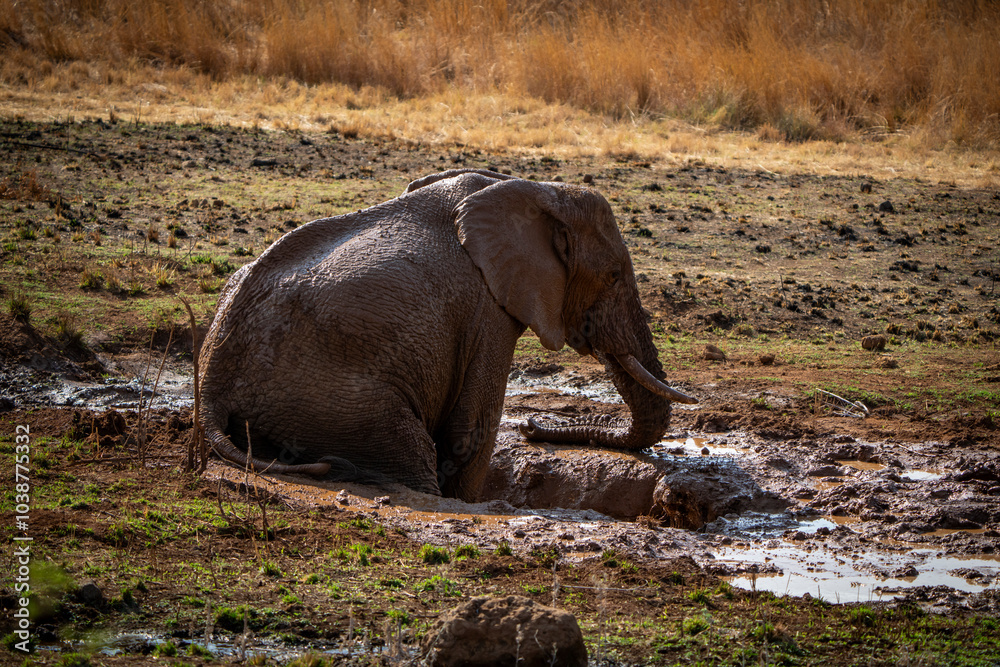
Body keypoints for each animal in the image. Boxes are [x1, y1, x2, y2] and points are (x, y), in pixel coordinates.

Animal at [197, 168, 696, 500]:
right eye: (613, 276)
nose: (533, 427)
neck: (534, 189)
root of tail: (210, 388)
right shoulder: (487, 310)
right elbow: (471, 432)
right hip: (333, 403)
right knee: (408, 448)